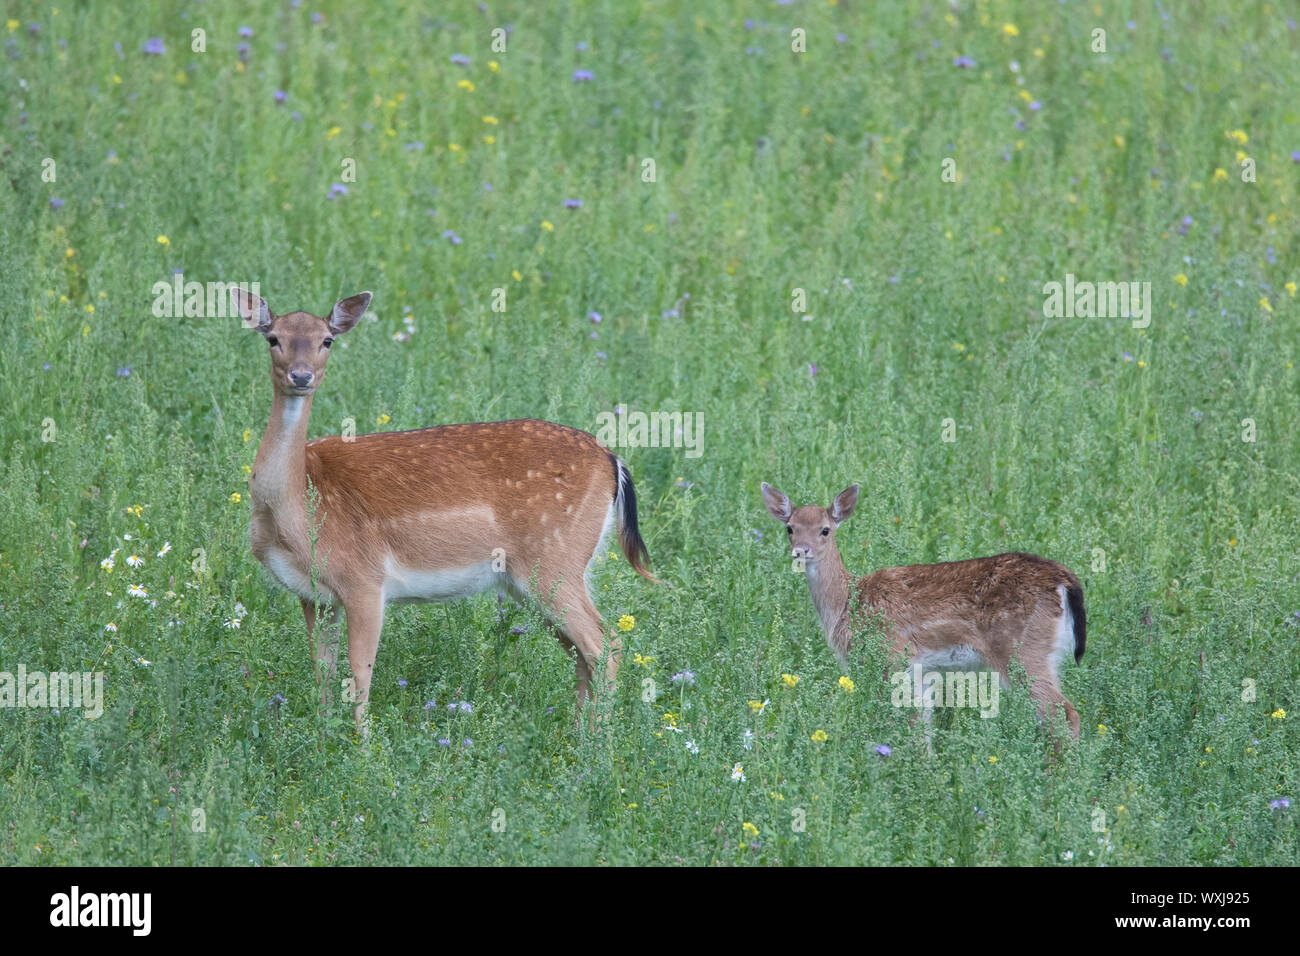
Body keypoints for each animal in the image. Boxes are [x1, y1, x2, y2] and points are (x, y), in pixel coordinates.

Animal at [231, 287, 655, 733]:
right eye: (273, 338)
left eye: (327, 340)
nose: (301, 376)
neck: (298, 511)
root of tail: (613, 460)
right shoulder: (314, 595)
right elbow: (323, 671)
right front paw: (323, 734)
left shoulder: (364, 579)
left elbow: (360, 671)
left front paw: (362, 744)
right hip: (541, 577)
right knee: (581, 652)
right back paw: (576, 735)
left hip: (554, 560)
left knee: (605, 644)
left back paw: (596, 742)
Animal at [761, 482, 1086, 742]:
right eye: (790, 528)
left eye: (825, 530)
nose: (800, 550)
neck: (846, 603)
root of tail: (1064, 580)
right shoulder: (920, 670)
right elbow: (923, 723)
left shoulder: (890, 657)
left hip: (1022, 650)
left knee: (1064, 714)